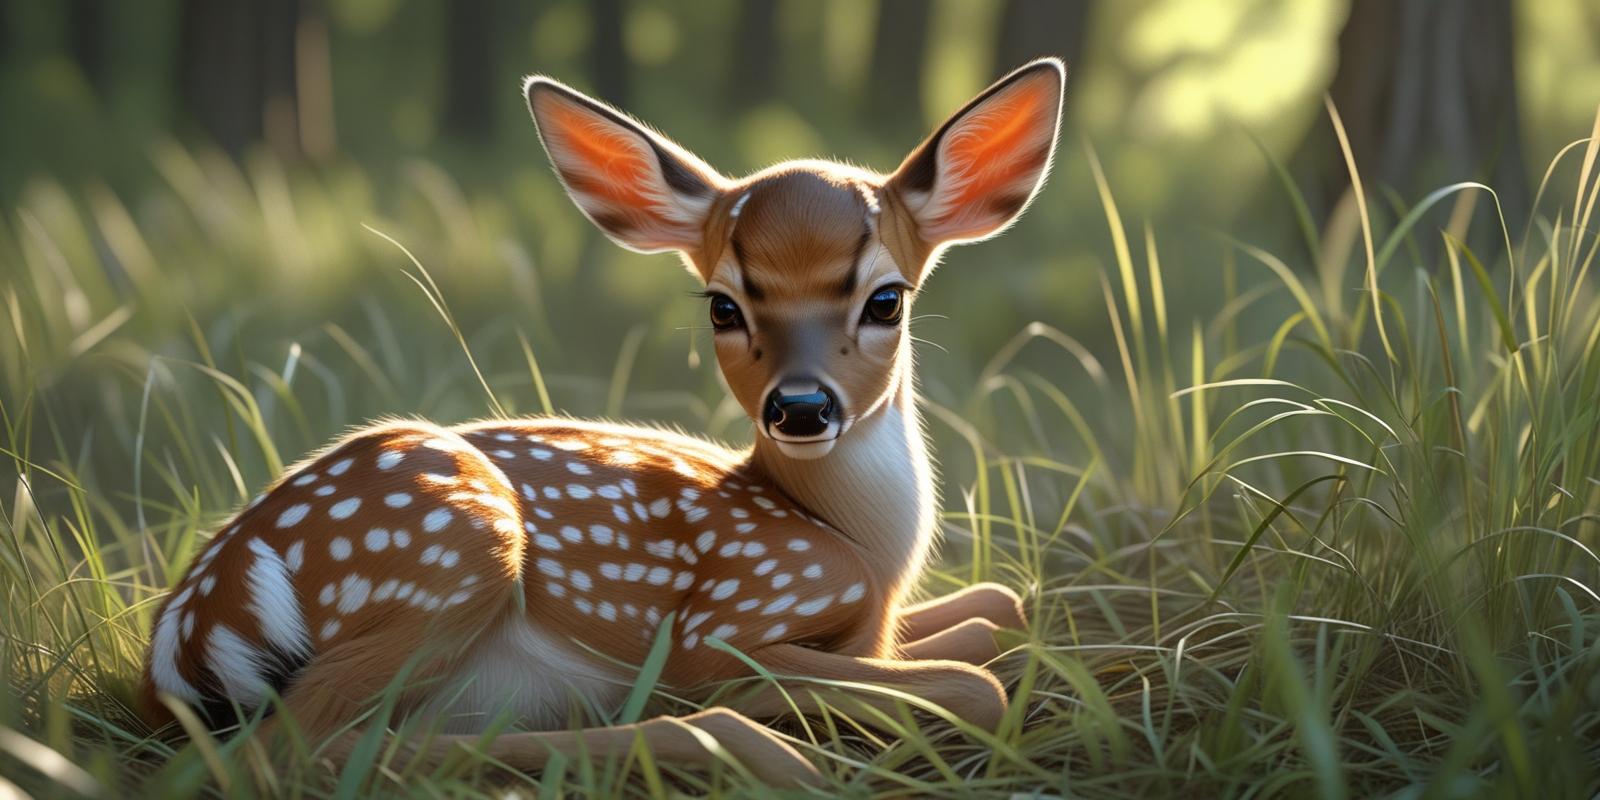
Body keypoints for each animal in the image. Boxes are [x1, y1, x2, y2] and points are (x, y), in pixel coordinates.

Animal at [139, 58, 1065, 786]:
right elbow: (969, 682)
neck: (864, 550)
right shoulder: (724, 617)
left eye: (887, 299)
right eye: (723, 305)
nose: (801, 407)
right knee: (297, 751)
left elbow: (998, 603)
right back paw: (751, 748)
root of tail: (185, 632)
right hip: (451, 553)